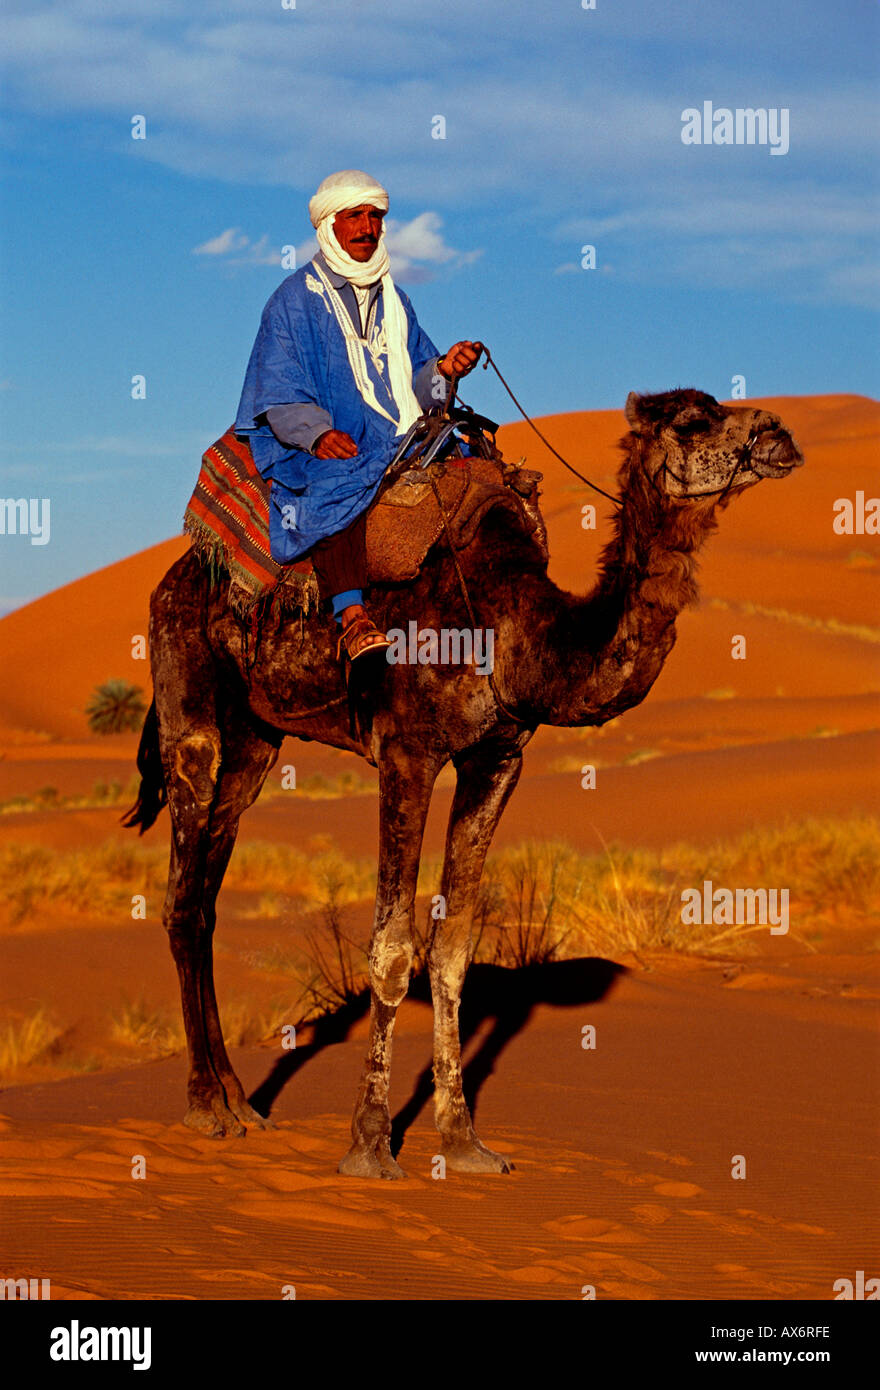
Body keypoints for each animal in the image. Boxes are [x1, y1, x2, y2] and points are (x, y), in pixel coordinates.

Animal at [124, 388, 802, 1178]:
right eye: (693, 421)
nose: (780, 433)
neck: (512, 627)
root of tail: (177, 569)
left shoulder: (498, 756)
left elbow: (452, 952)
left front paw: (463, 1141)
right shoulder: (408, 752)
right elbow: (391, 949)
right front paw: (370, 1146)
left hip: (258, 736)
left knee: (205, 895)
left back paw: (239, 1099)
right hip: (189, 700)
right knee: (181, 889)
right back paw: (207, 1107)